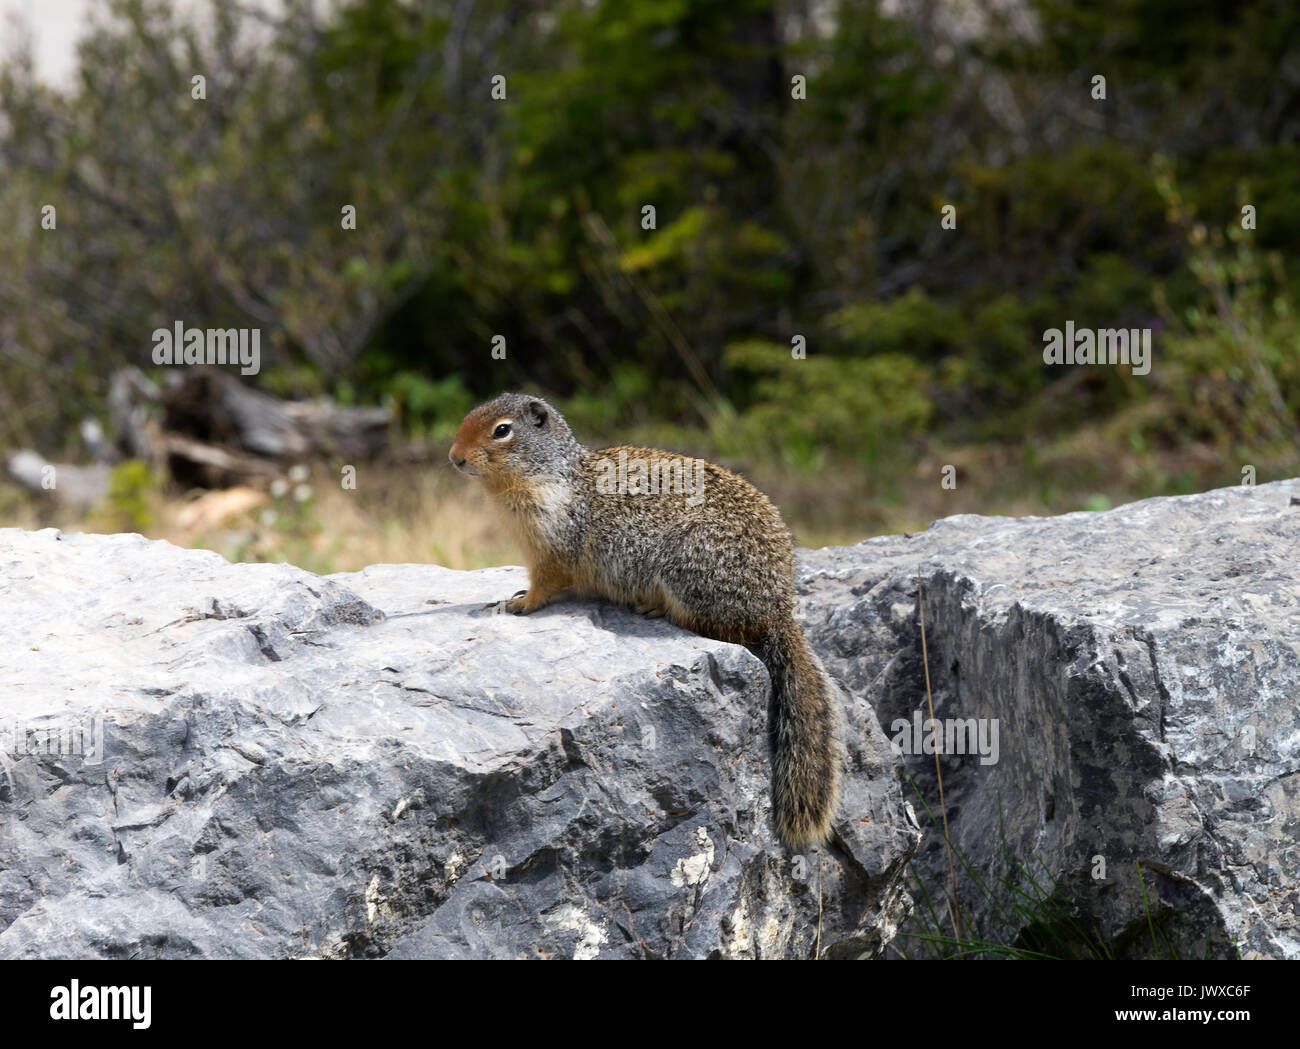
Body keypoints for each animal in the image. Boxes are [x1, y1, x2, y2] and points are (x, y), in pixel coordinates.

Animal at [449, 392, 839, 849]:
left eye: (502, 430)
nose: (454, 458)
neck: (550, 475)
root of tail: (779, 607)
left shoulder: (553, 543)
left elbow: (547, 581)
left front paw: (521, 603)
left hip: (690, 569)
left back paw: (655, 608)